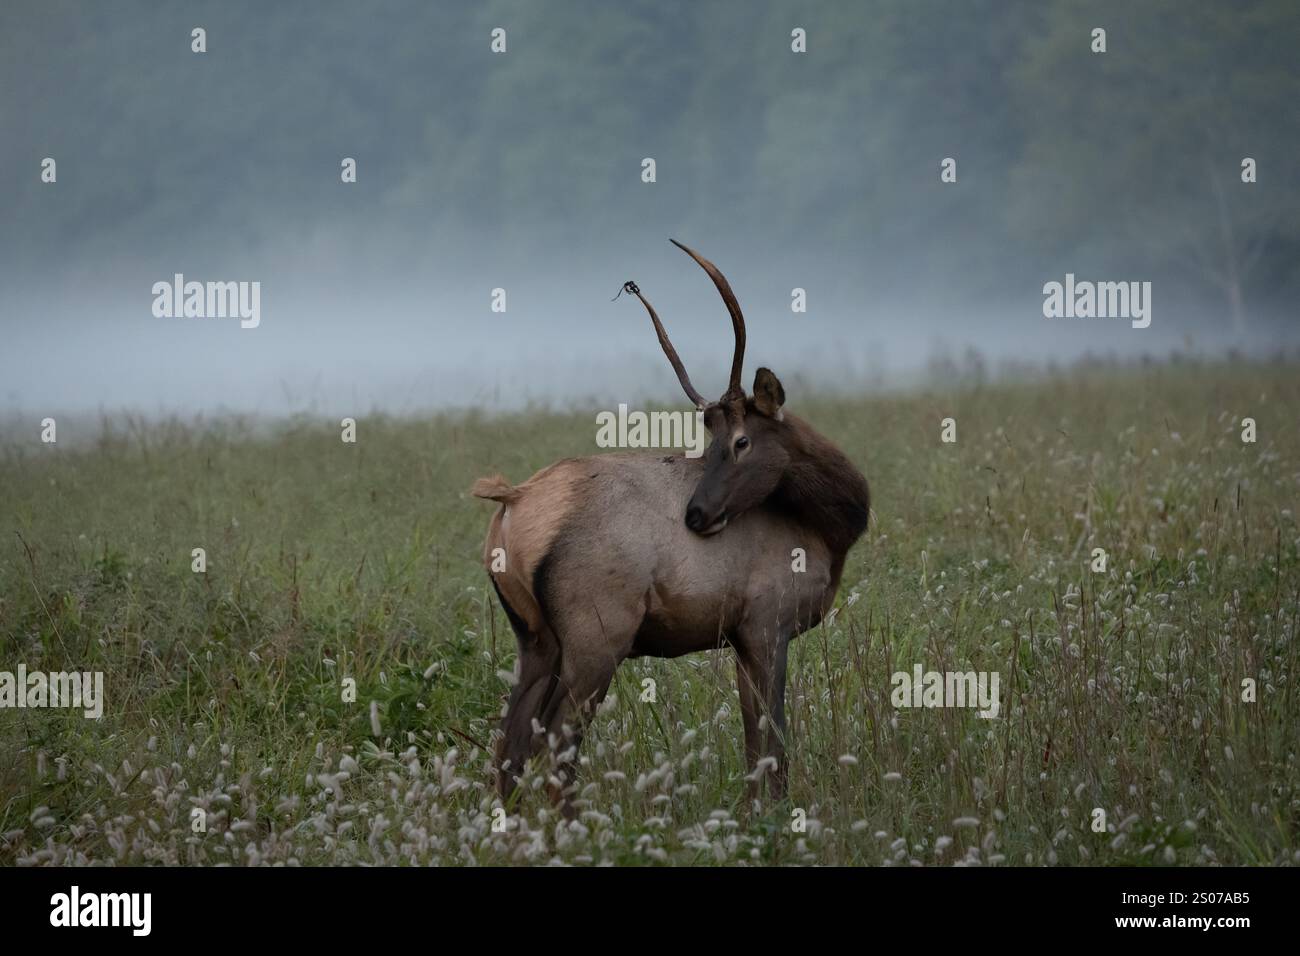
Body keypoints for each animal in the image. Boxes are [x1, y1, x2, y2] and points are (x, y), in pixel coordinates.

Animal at [473, 240, 870, 813]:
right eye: (716, 441)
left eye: (739, 440)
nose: (697, 513)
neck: (831, 530)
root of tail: (512, 501)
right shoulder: (766, 624)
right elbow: (773, 743)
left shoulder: (741, 638)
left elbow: (755, 745)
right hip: (597, 637)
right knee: (555, 745)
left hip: (535, 639)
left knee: (508, 748)